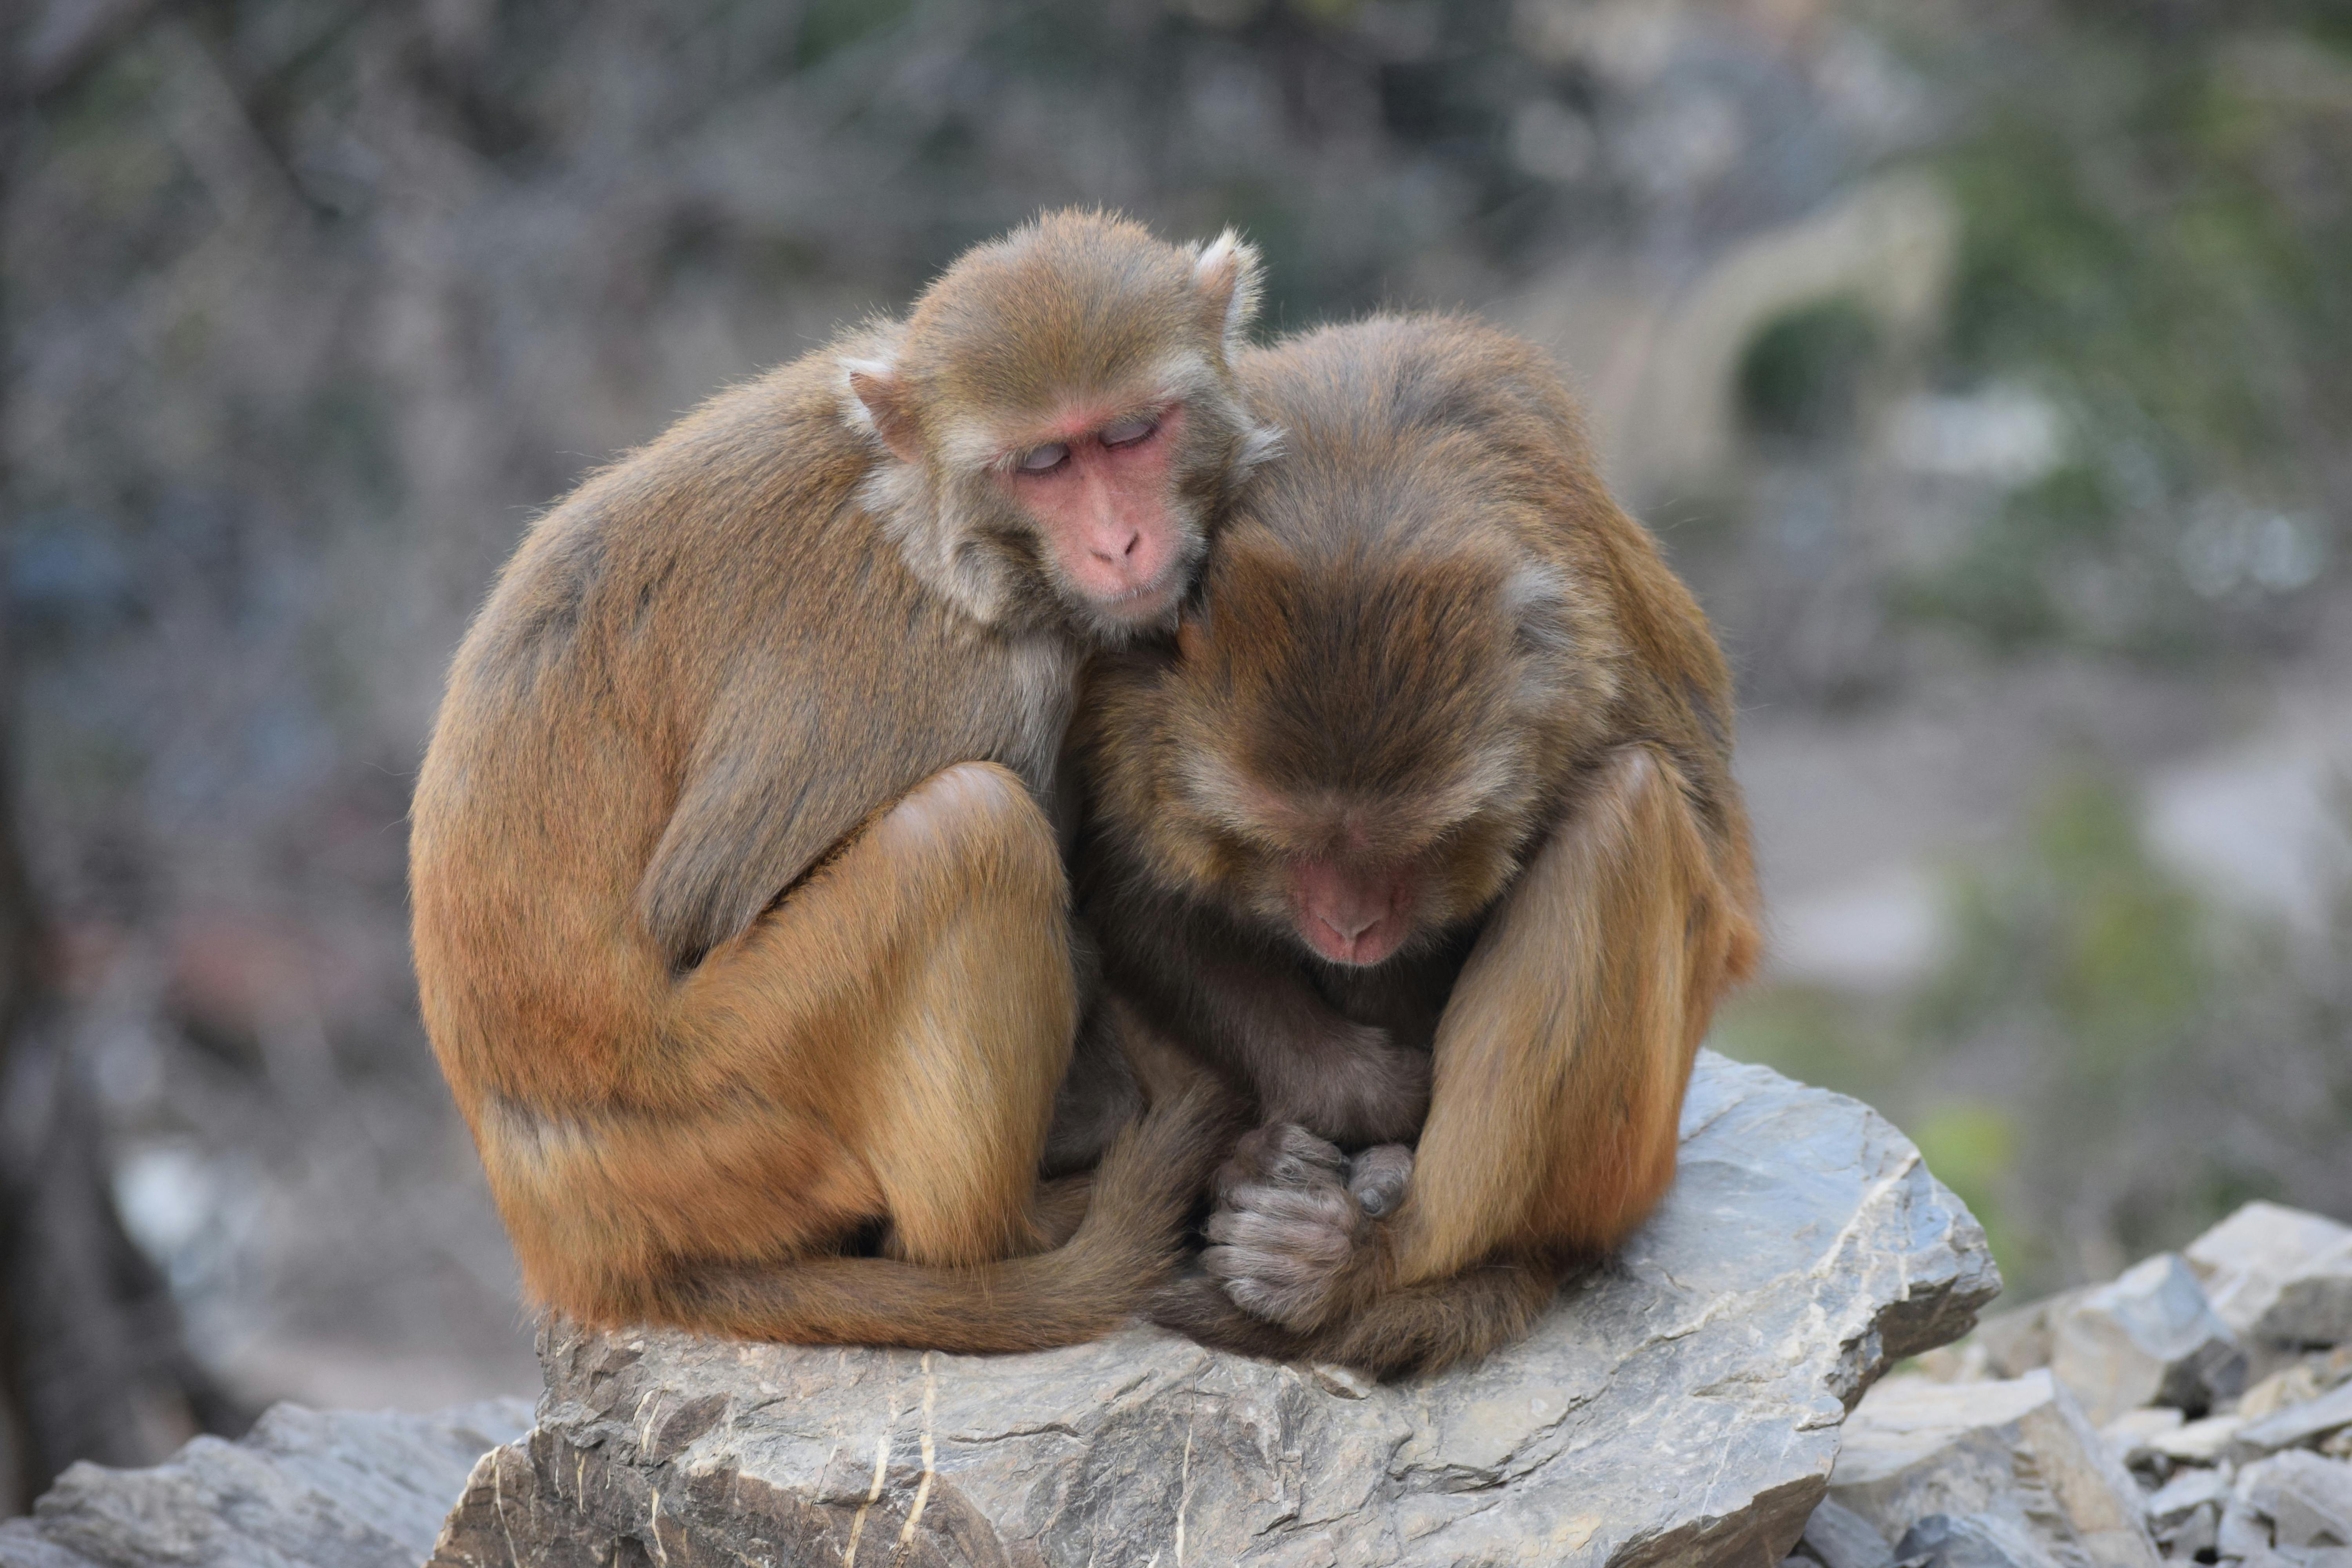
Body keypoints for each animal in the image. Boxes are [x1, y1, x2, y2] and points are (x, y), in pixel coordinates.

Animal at [408, 211, 1276, 1354]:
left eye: (1134, 433)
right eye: (1044, 462)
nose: (1118, 542)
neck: (938, 527)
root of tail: (583, 1249)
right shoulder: (933, 672)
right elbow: (704, 900)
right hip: (731, 1107)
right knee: (968, 827)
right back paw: (1000, 1235)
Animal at [1068, 313, 1762, 1376]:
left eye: (1408, 845)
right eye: (1290, 843)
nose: (1349, 924)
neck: (1362, 489)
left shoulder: (1586, 666)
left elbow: (1704, 861)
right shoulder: (1126, 706)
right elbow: (1129, 880)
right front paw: (1357, 1092)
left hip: (1631, 1168)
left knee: (1630, 812)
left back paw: (1369, 1263)